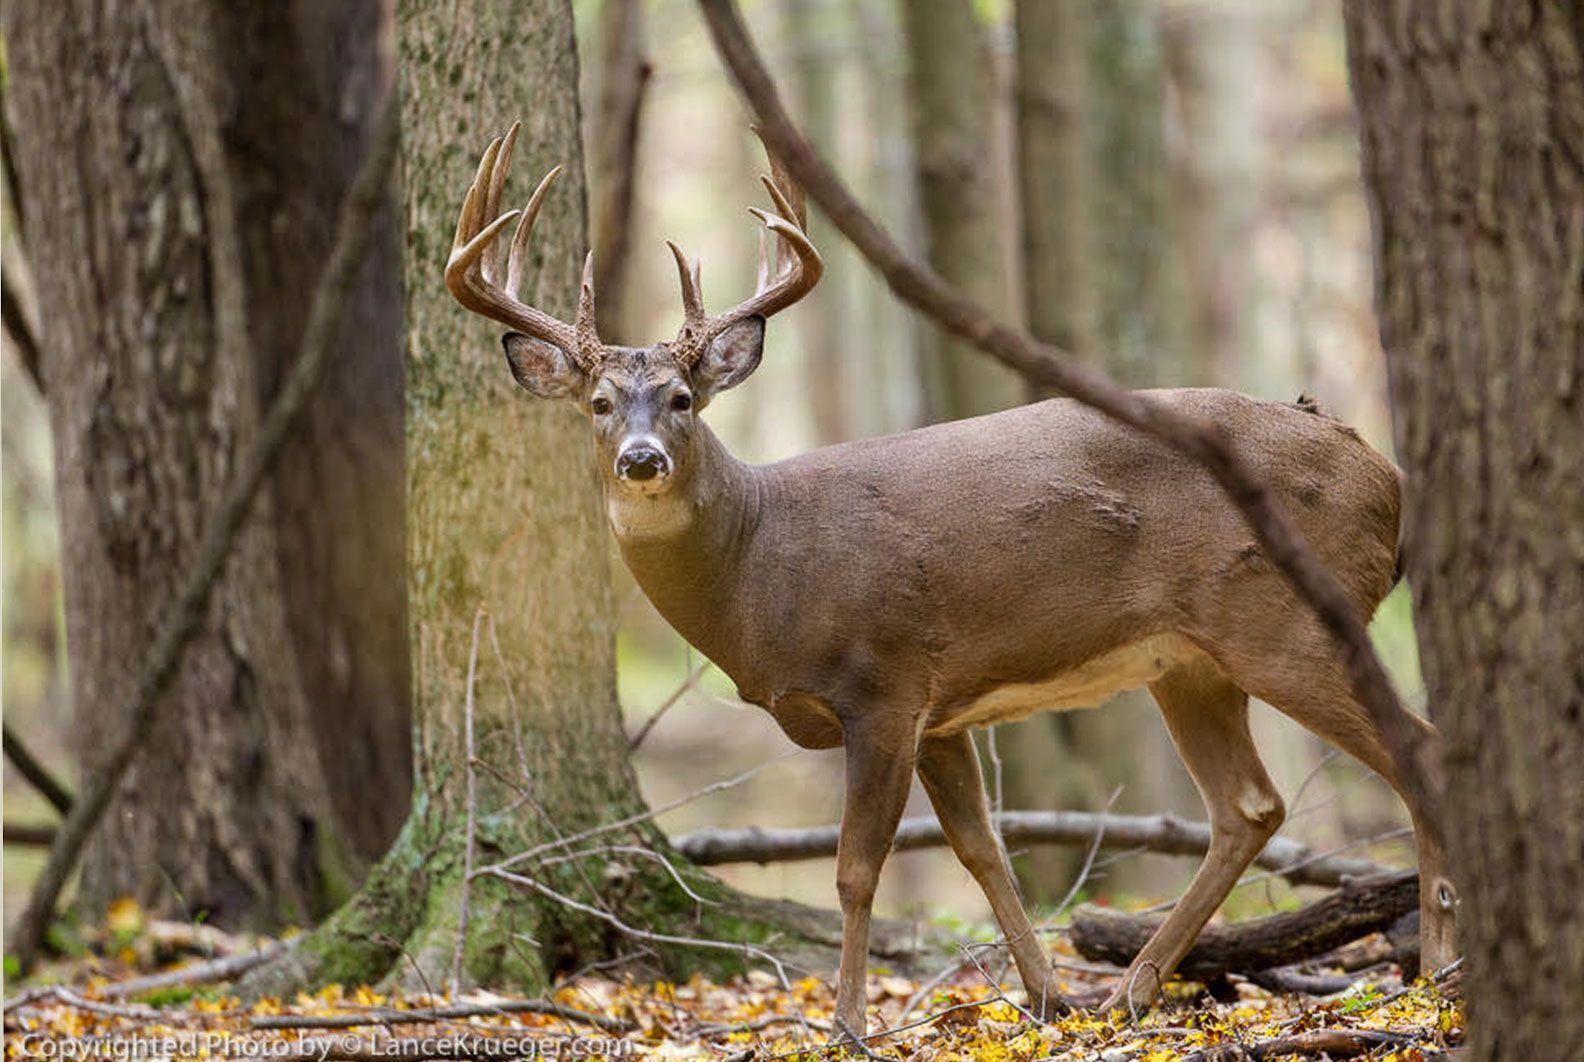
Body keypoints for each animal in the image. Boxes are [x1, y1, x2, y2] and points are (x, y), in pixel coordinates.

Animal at [443, 124, 1457, 1036]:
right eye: (598, 404)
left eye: (686, 399)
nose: (643, 459)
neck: (763, 568)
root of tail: (1387, 479)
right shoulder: (943, 709)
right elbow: (982, 848)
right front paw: (1047, 999)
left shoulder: (884, 683)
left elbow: (858, 869)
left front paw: (849, 1024)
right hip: (1191, 662)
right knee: (1249, 806)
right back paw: (1130, 993)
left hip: (1286, 619)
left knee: (1416, 744)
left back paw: (1437, 961)